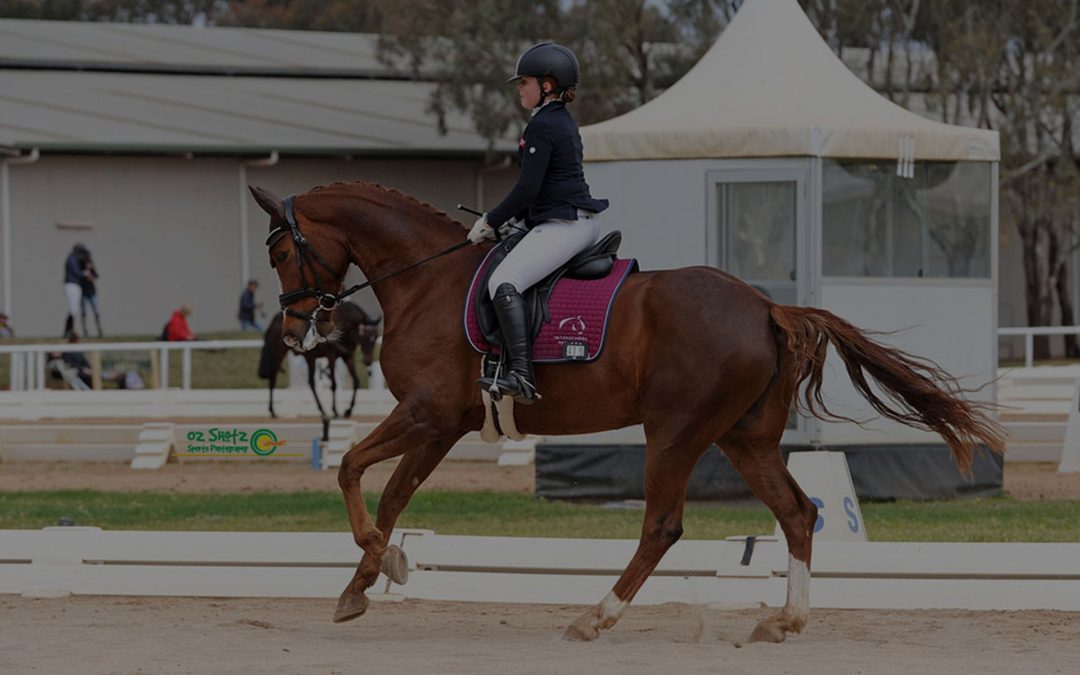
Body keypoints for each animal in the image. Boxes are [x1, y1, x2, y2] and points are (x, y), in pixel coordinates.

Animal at [249, 181, 1004, 643]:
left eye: (282, 251)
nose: (294, 333)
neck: (424, 277)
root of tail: (766, 305)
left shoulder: (426, 413)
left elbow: (350, 468)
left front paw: (386, 564)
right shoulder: (444, 423)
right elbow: (394, 494)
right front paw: (367, 580)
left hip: (674, 432)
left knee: (663, 525)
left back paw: (595, 616)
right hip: (744, 438)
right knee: (797, 513)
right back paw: (784, 621)